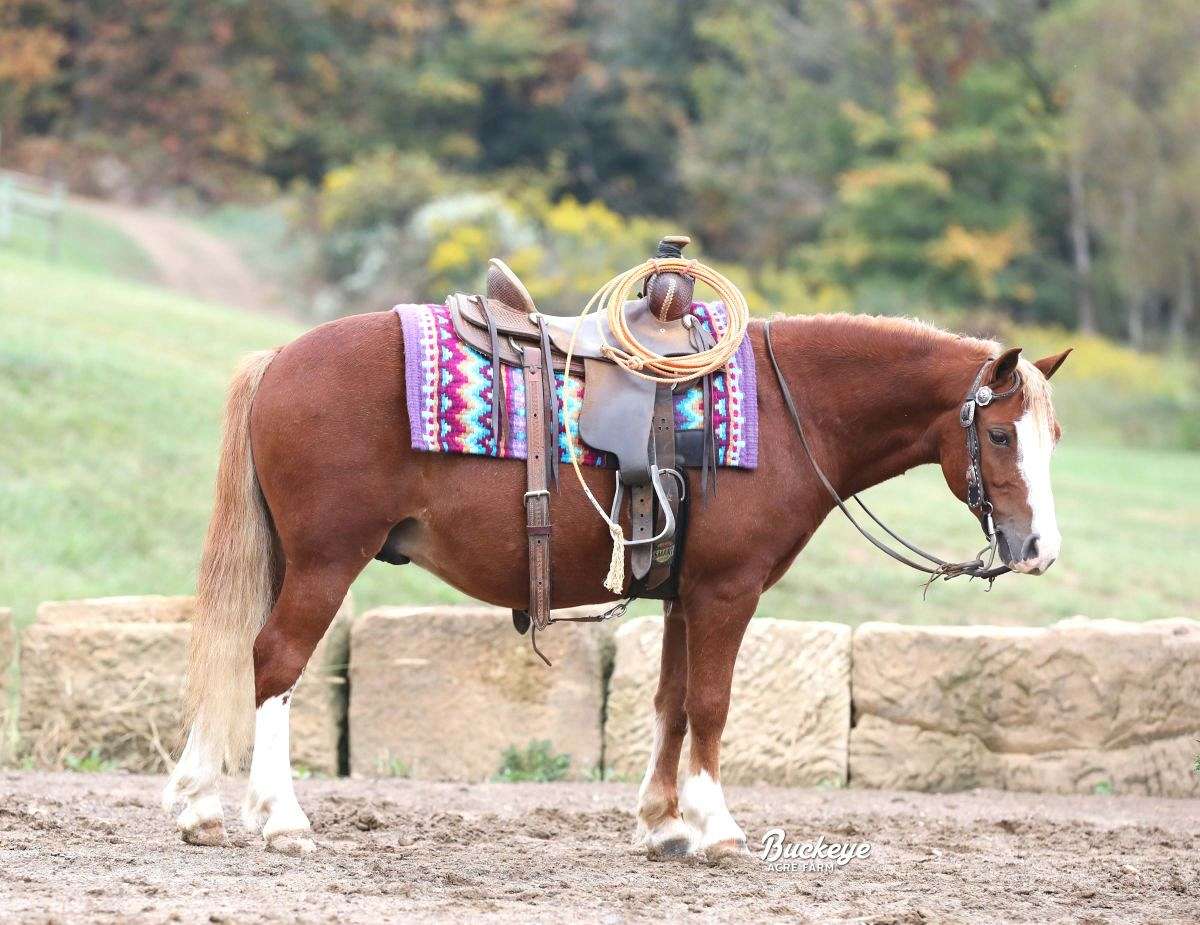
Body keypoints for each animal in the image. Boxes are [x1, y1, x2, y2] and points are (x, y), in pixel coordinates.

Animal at [162, 305, 1070, 859]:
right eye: (998, 433)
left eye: (1051, 437)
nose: (1037, 548)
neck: (787, 414)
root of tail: (280, 358)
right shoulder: (727, 592)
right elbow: (711, 703)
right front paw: (716, 825)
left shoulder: (683, 595)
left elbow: (670, 702)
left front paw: (662, 823)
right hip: (327, 560)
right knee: (275, 660)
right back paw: (279, 817)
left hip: (289, 557)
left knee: (239, 652)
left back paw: (199, 805)